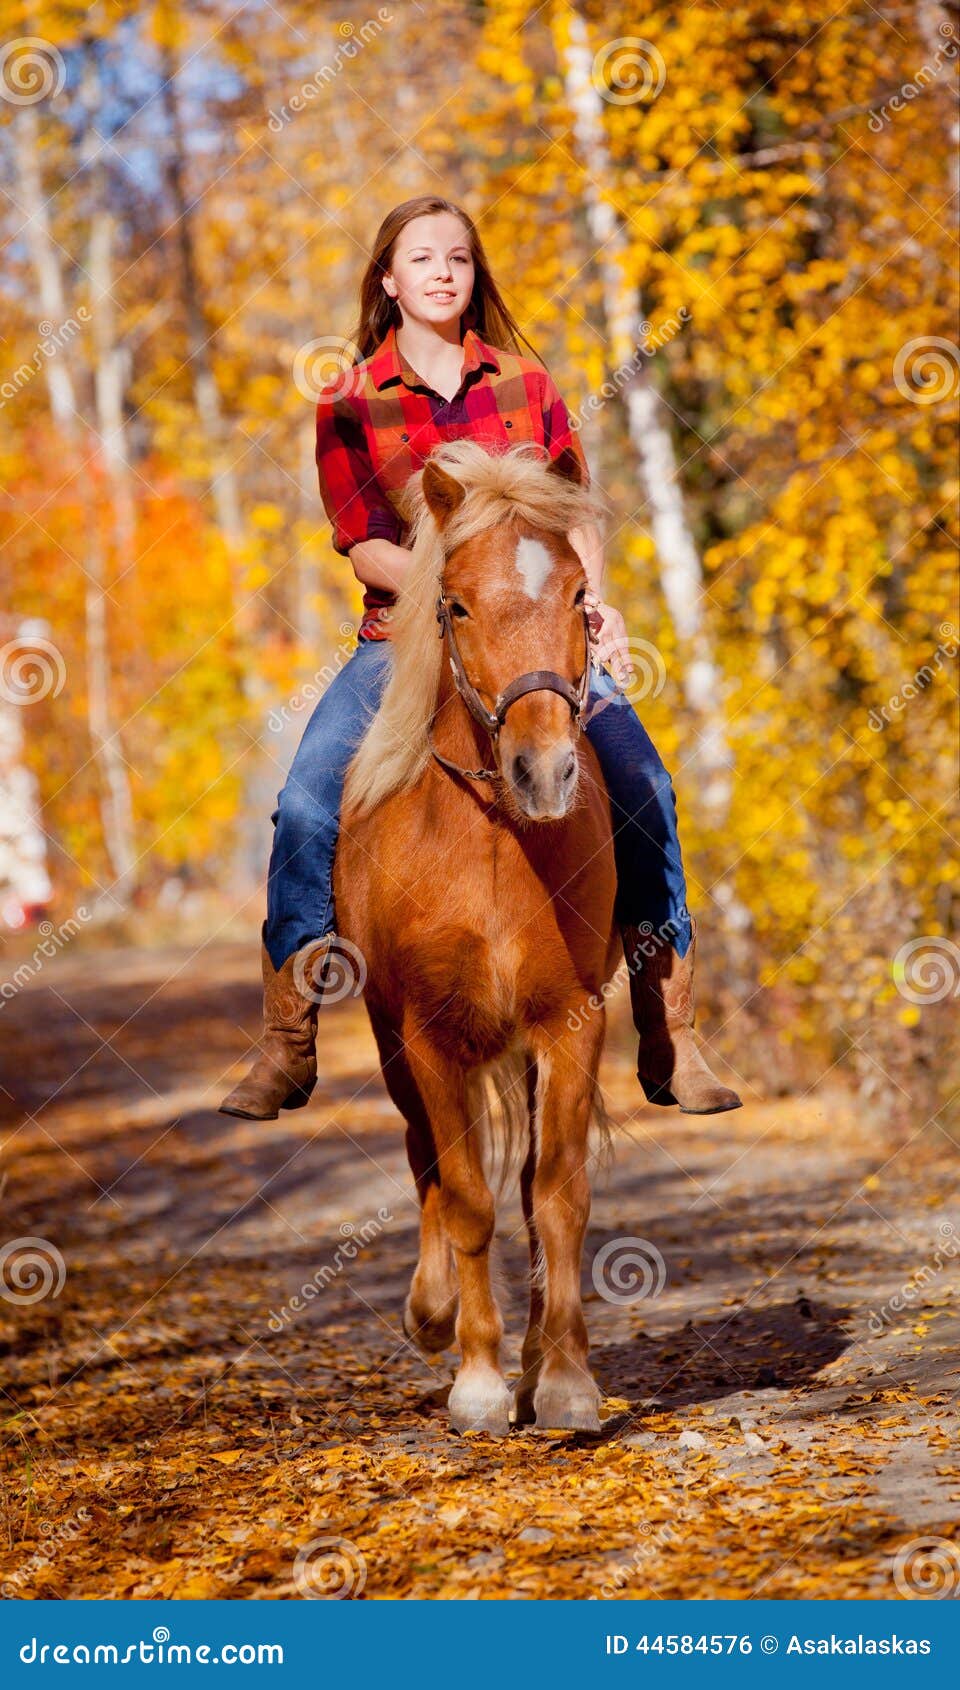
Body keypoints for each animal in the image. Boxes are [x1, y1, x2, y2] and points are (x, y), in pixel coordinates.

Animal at [334, 439, 619, 1436]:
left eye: (578, 595)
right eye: (454, 603)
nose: (545, 771)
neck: (496, 841)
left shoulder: (570, 1022)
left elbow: (556, 1194)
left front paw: (561, 1377)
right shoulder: (426, 1034)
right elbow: (463, 1198)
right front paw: (480, 1380)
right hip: (392, 1042)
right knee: (423, 1154)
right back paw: (433, 1313)